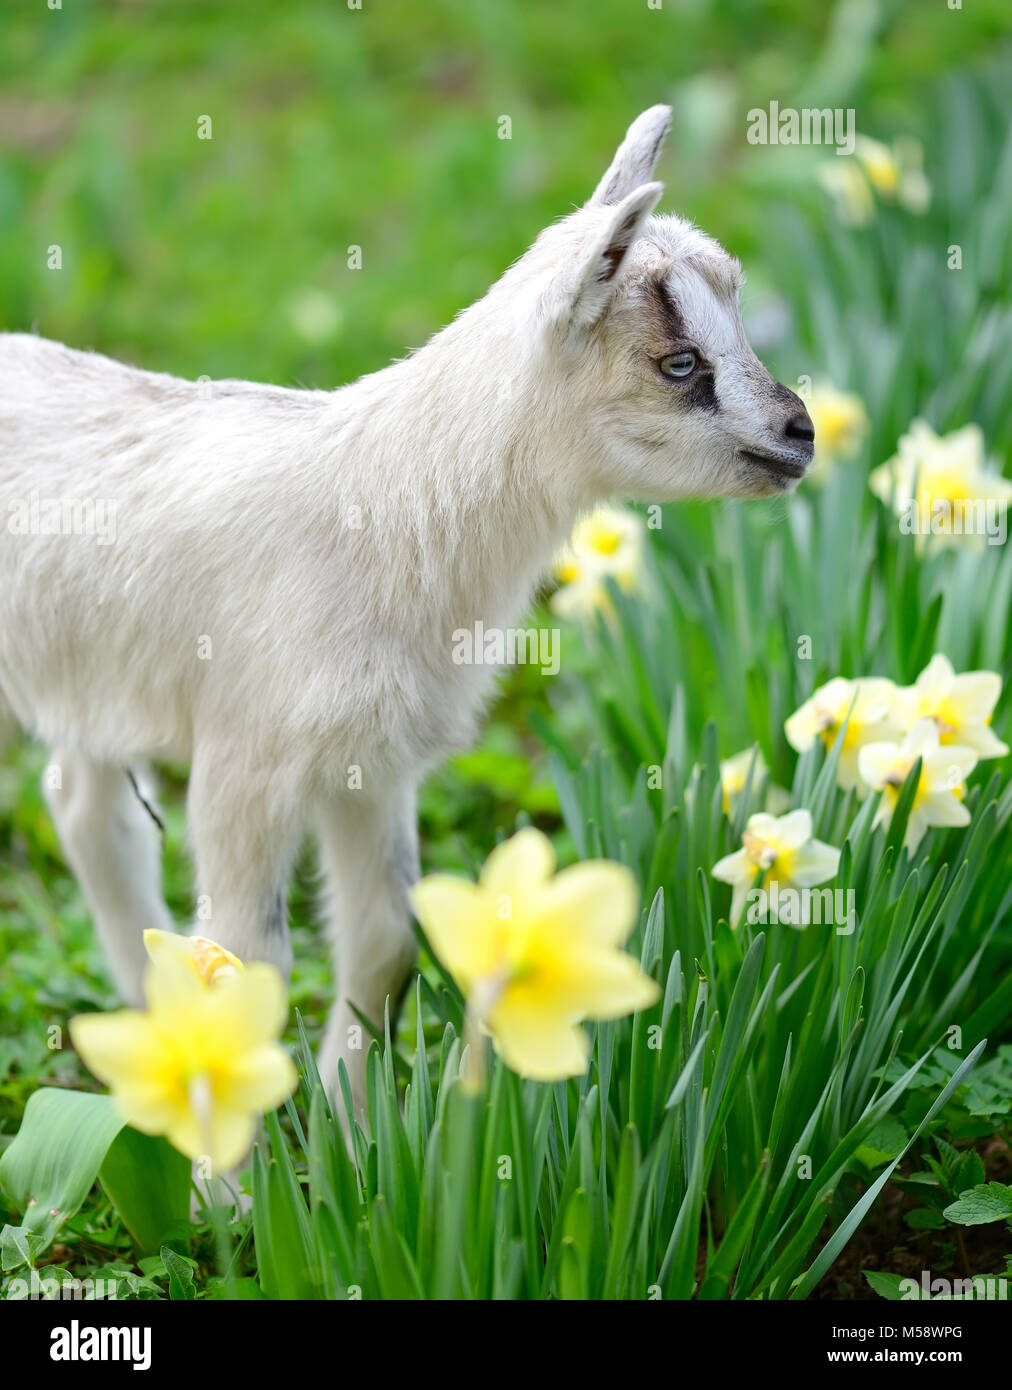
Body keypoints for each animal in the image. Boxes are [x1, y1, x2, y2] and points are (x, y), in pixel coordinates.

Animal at [0, 107, 814, 1115]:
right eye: (679, 362)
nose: (800, 433)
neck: (380, 502)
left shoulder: (370, 761)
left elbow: (385, 948)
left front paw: (349, 1125)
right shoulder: (247, 759)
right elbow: (245, 961)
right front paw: (241, 1156)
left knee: (82, 809)